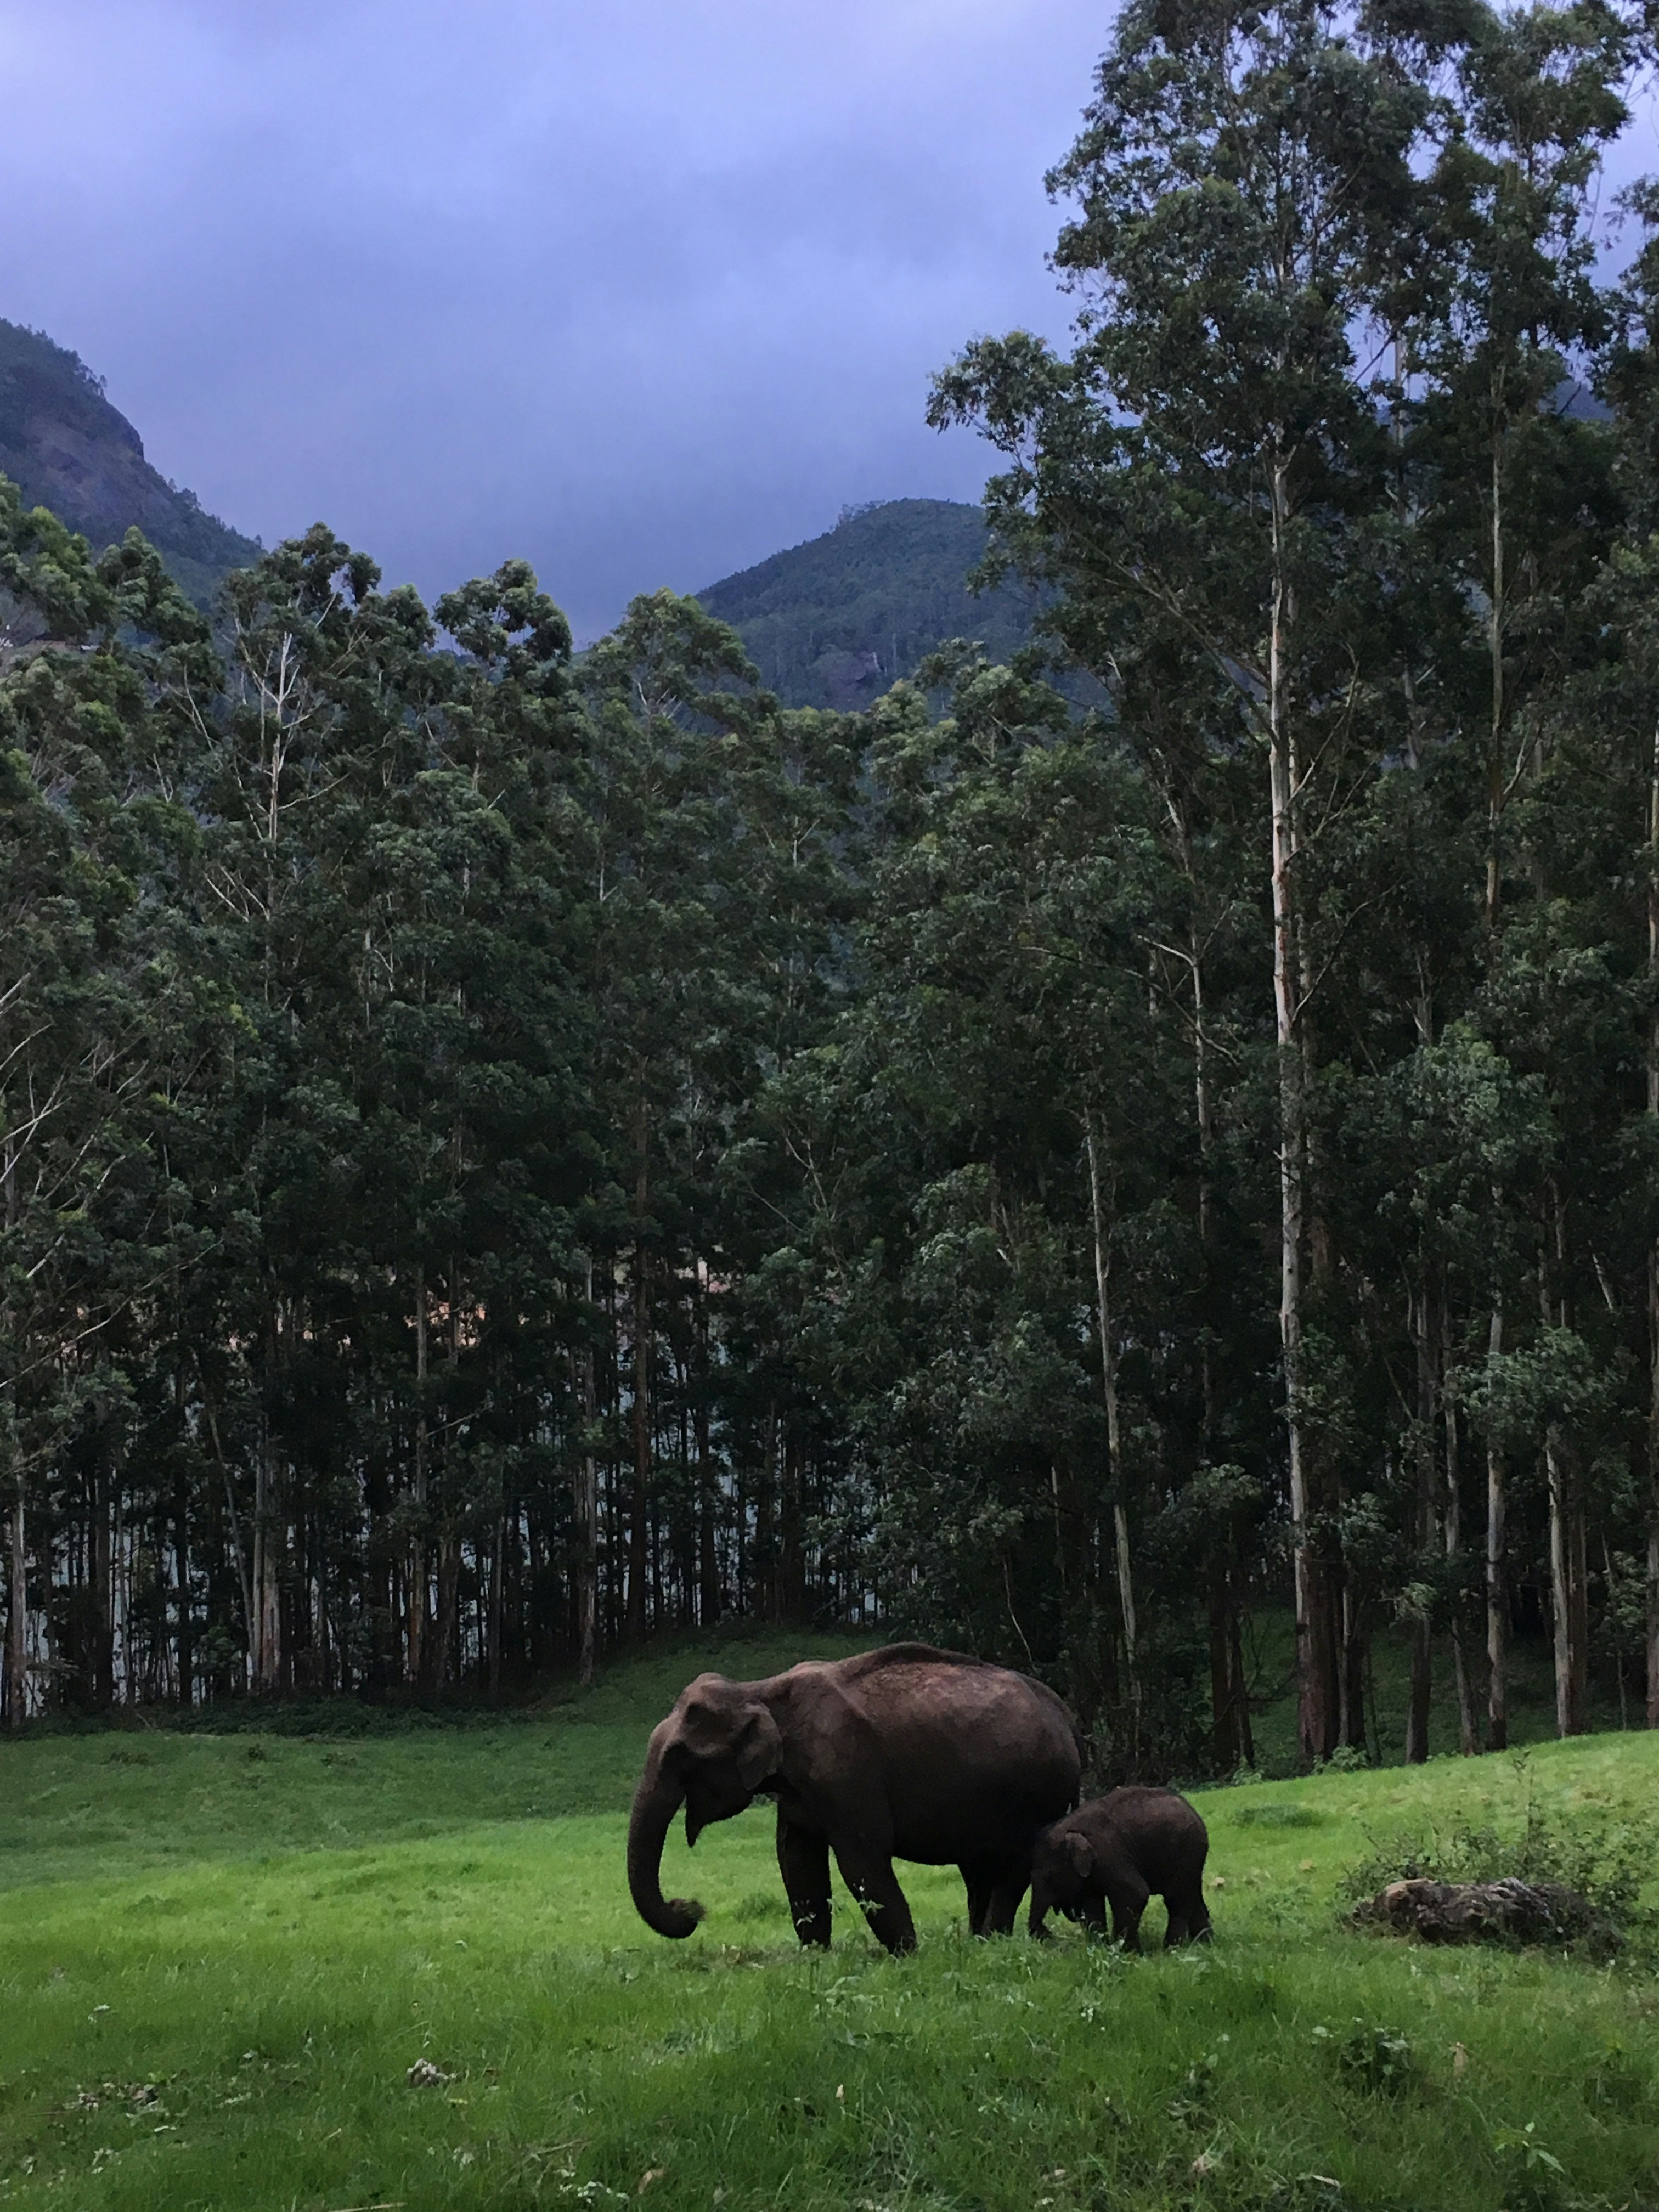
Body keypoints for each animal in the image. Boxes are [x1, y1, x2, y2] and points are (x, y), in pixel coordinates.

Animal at [627, 1642, 1082, 1956]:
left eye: (681, 1757)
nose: (691, 1908)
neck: (762, 1690)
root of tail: (1064, 1714)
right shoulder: (799, 1789)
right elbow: (797, 1861)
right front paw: (816, 1955)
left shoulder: (845, 1771)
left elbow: (862, 1861)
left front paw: (908, 1955)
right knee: (978, 1870)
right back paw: (978, 1942)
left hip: (1039, 1794)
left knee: (1013, 1868)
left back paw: (991, 1940)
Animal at [1028, 1786, 1211, 1951]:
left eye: (1051, 1876)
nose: (1048, 1934)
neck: (1069, 1827)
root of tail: (1196, 1816)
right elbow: (1092, 1904)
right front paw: (1100, 1947)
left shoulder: (1109, 1852)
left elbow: (1135, 1893)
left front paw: (1123, 1951)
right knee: (1193, 1895)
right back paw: (1204, 1945)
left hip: (1185, 1851)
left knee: (1176, 1899)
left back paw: (1171, 1949)